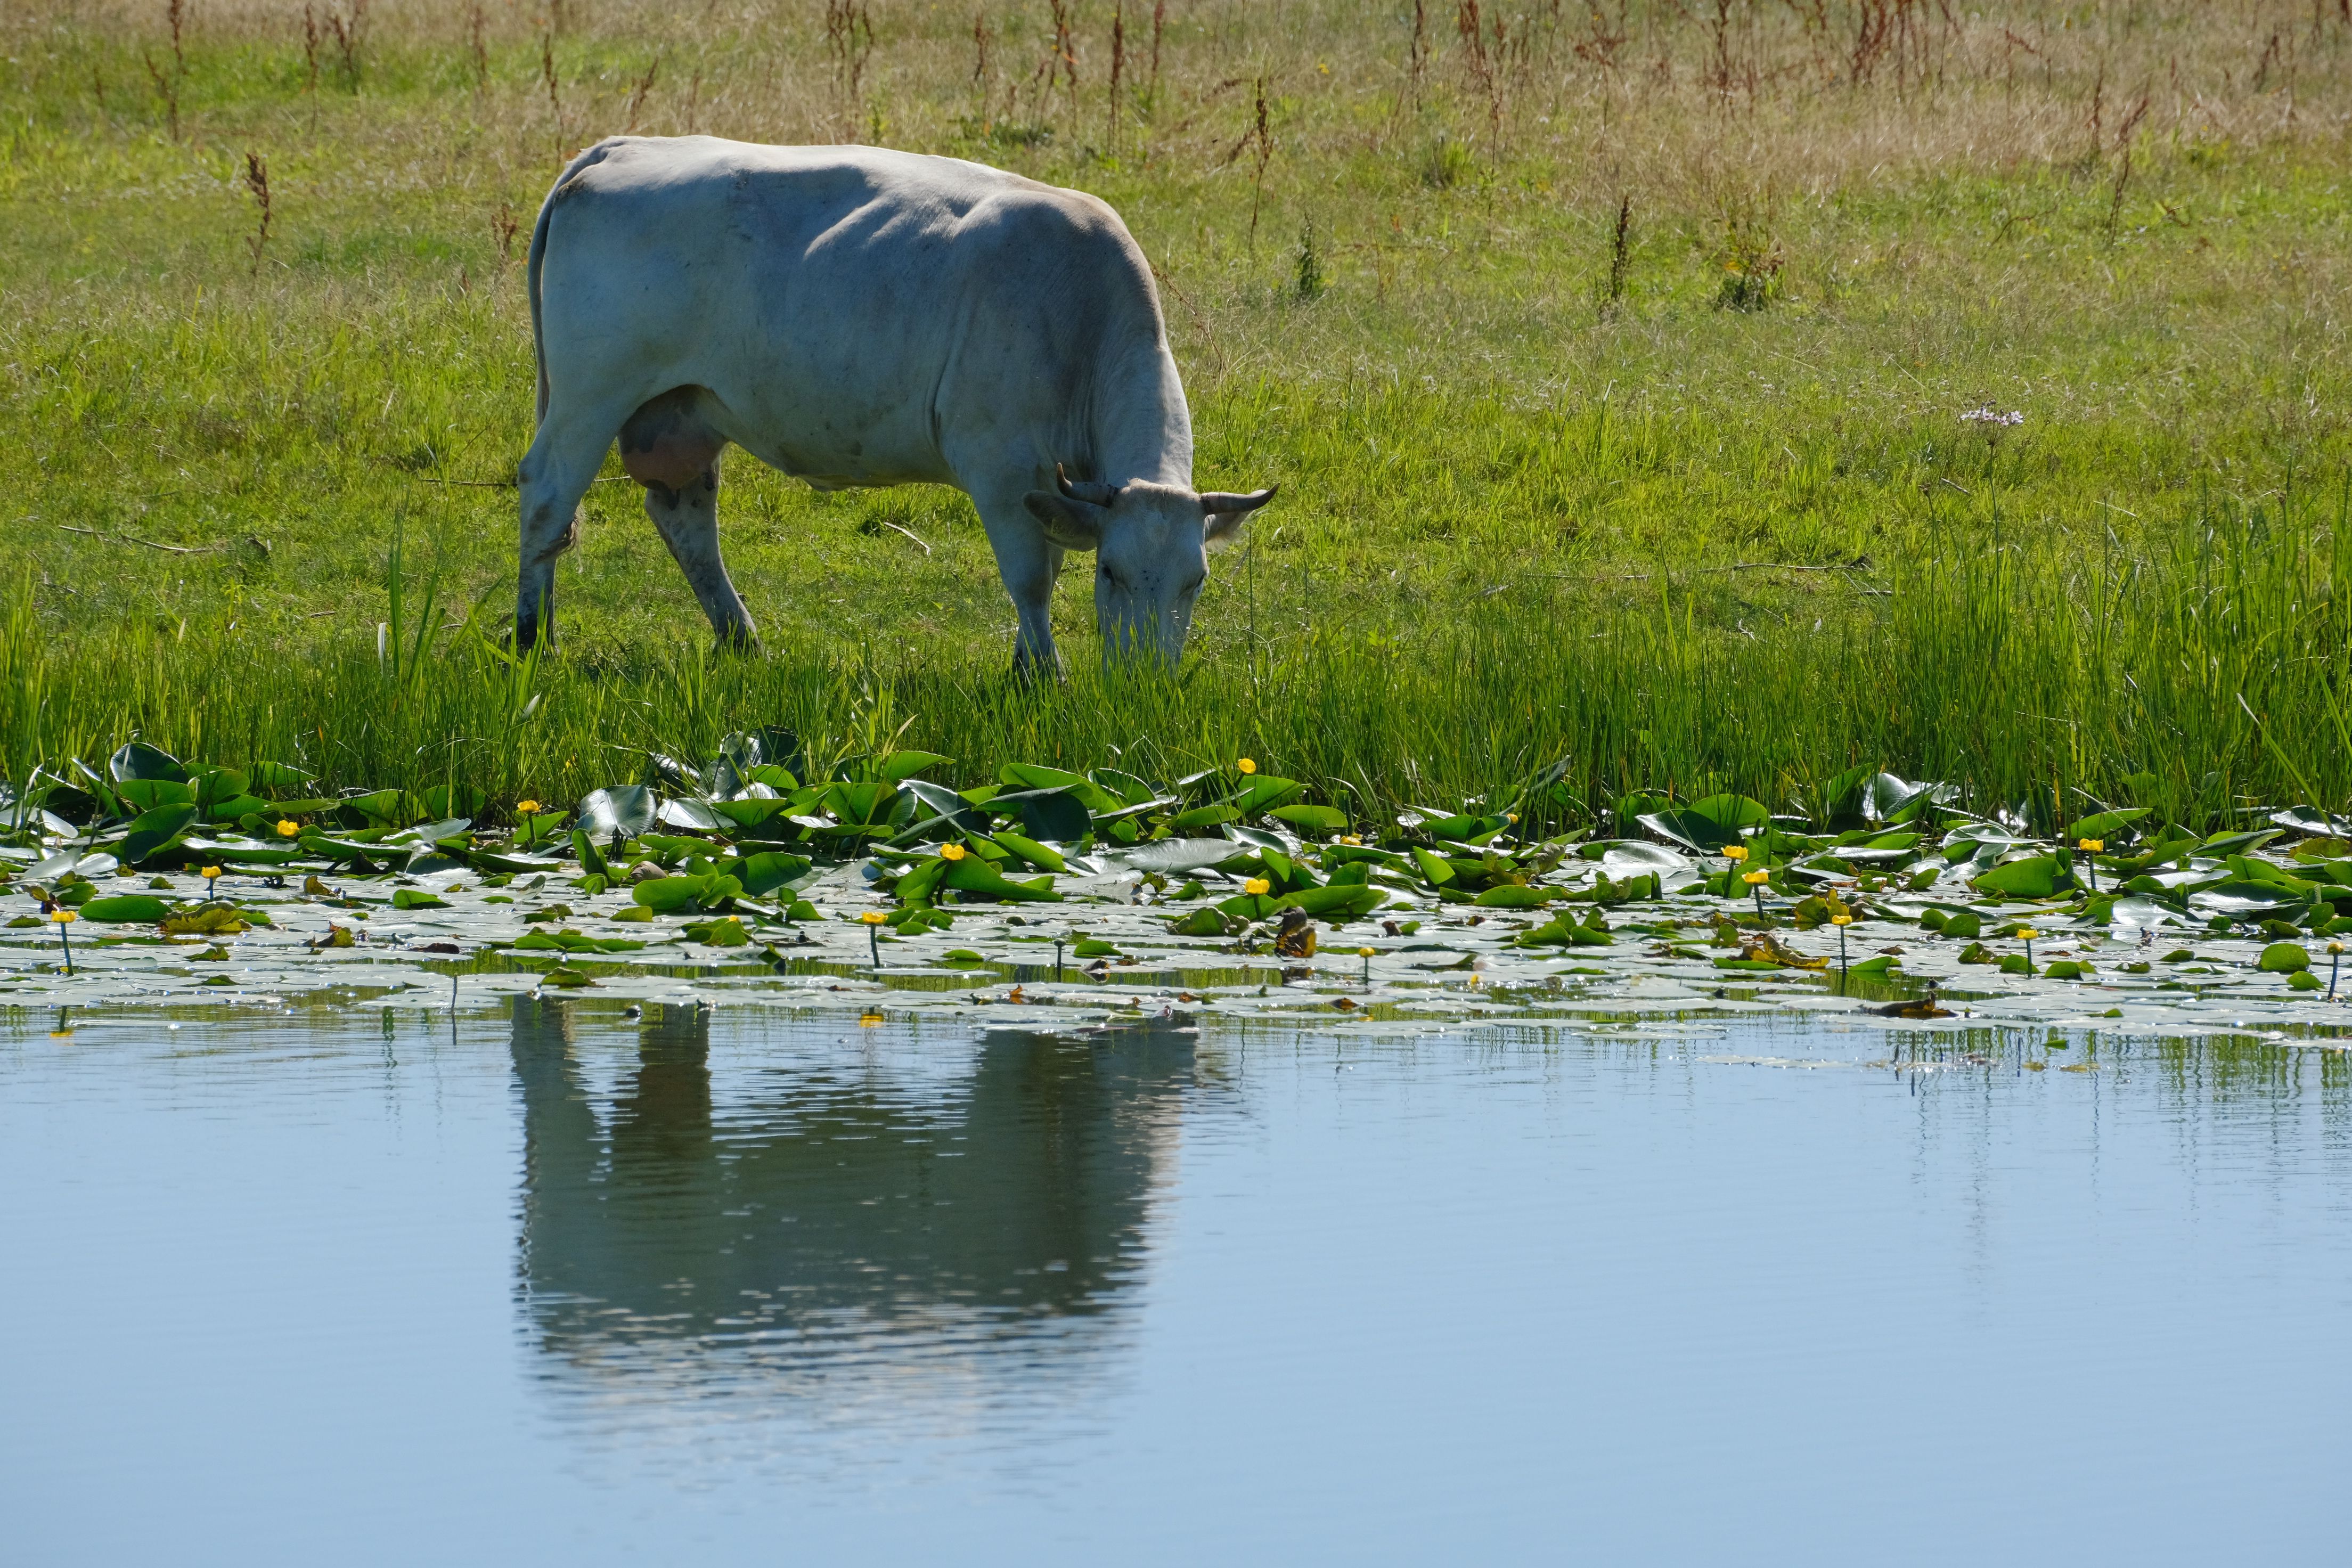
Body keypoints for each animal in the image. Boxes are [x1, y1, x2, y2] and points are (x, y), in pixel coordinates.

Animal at [517, 135, 1277, 672]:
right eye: (1112, 573)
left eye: (1196, 582)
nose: (1145, 682)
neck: (1079, 320)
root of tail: (622, 147)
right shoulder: (1000, 466)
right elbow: (1032, 579)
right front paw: (1043, 676)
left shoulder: (1048, 484)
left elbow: (1051, 566)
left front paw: (1025, 667)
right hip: (591, 395)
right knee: (548, 499)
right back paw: (532, 642)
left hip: (682, 410)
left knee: (685, 522)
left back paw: (744, 643)